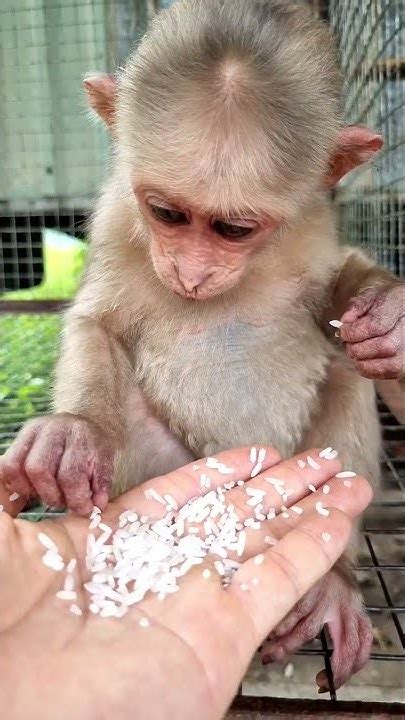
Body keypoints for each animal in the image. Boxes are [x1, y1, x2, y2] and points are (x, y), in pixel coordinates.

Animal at [1, 0, 404, 692]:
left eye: (234, 228)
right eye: (167, 214)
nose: (190, 274)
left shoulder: (310, 225)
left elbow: (340, 294)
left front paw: (390, 314)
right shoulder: (119, 218)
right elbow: (98, 324)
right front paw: (72, 432)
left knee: (349, 372)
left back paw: (331, 583)